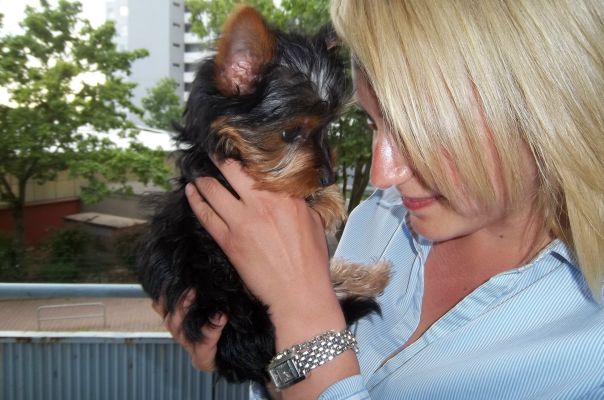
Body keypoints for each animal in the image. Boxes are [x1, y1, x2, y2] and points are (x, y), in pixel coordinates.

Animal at [138, 5, 389, 385]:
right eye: (290, 132)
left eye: (326, 128)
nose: (329, 176)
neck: (224, 148)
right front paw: (328, 201)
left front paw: (326, 197)